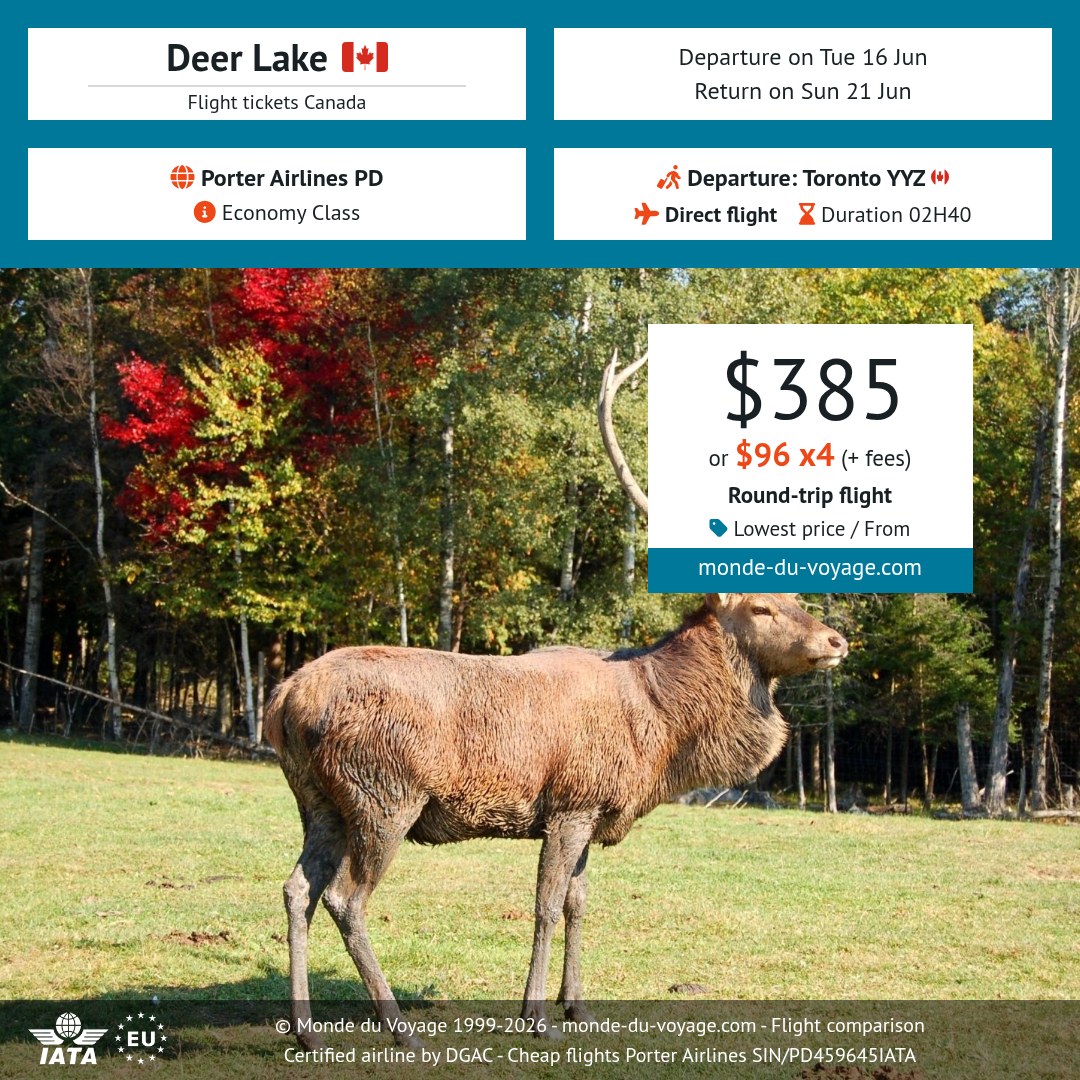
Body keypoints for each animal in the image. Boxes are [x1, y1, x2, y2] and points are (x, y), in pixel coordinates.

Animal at [266, 349, 848, 1048]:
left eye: (795, 595)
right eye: (762, 606)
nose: (837, 639)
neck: (659, 727)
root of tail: (283, 699)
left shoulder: (595, 811)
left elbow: (578, 903)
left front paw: (579, 1006)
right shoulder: (572, 802)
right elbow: (544, 904)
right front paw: (536, 1014)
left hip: (318, 798)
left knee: (296, 886)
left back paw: (306, 1028)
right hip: (385, 794)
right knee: (344, 896)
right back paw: (398, 1025)